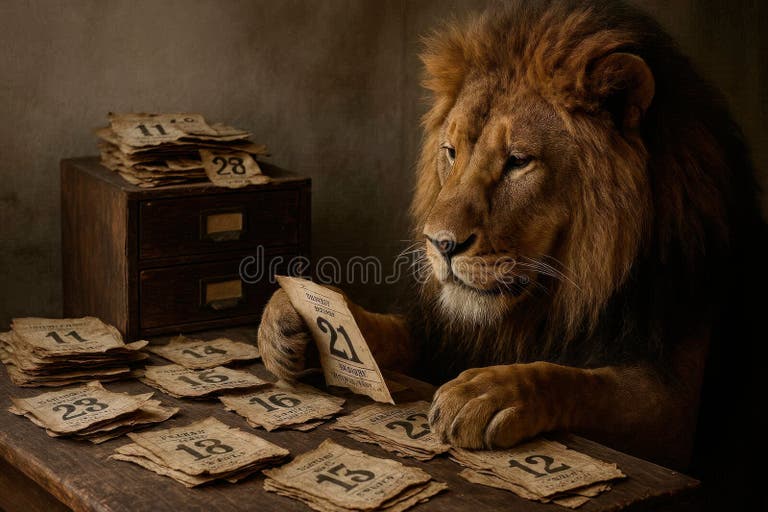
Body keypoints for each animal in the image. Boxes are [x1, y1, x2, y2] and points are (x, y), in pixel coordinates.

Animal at [258, 0, 765, 479]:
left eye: (518, 161)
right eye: (451, 151)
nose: (439, 243)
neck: (553, 303)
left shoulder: (674, 410)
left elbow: (583, 382)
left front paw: (487, 392)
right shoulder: (444, 336)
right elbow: (377, 330)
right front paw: (290, 318)